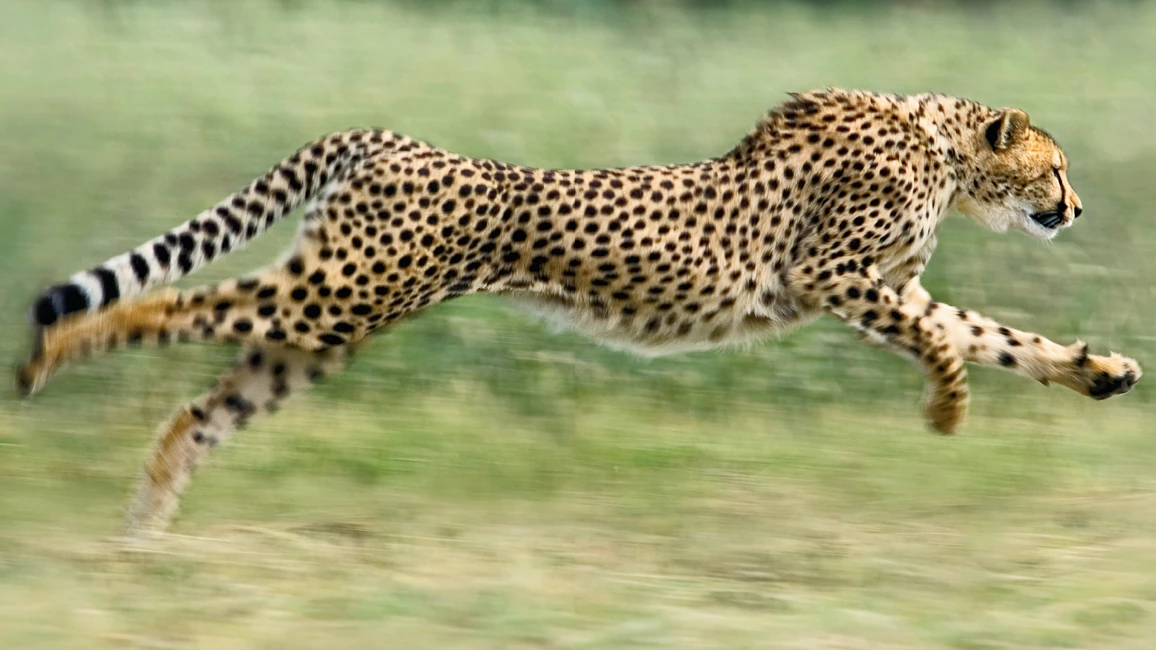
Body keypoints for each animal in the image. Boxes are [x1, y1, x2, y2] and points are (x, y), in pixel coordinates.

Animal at [15, 88, 1141, 535]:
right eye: (1057, 167)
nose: (1079, 206)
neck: (939, 144)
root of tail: (387, 137)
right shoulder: (834, 277)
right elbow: (944, 342)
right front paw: (947, 409)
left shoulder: (882, 285)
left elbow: (990, 335)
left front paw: (1098, 371)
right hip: (334, 295)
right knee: (168, 300)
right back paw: (50, 351)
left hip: (326, 329)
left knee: (203, 409)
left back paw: (146, 523)